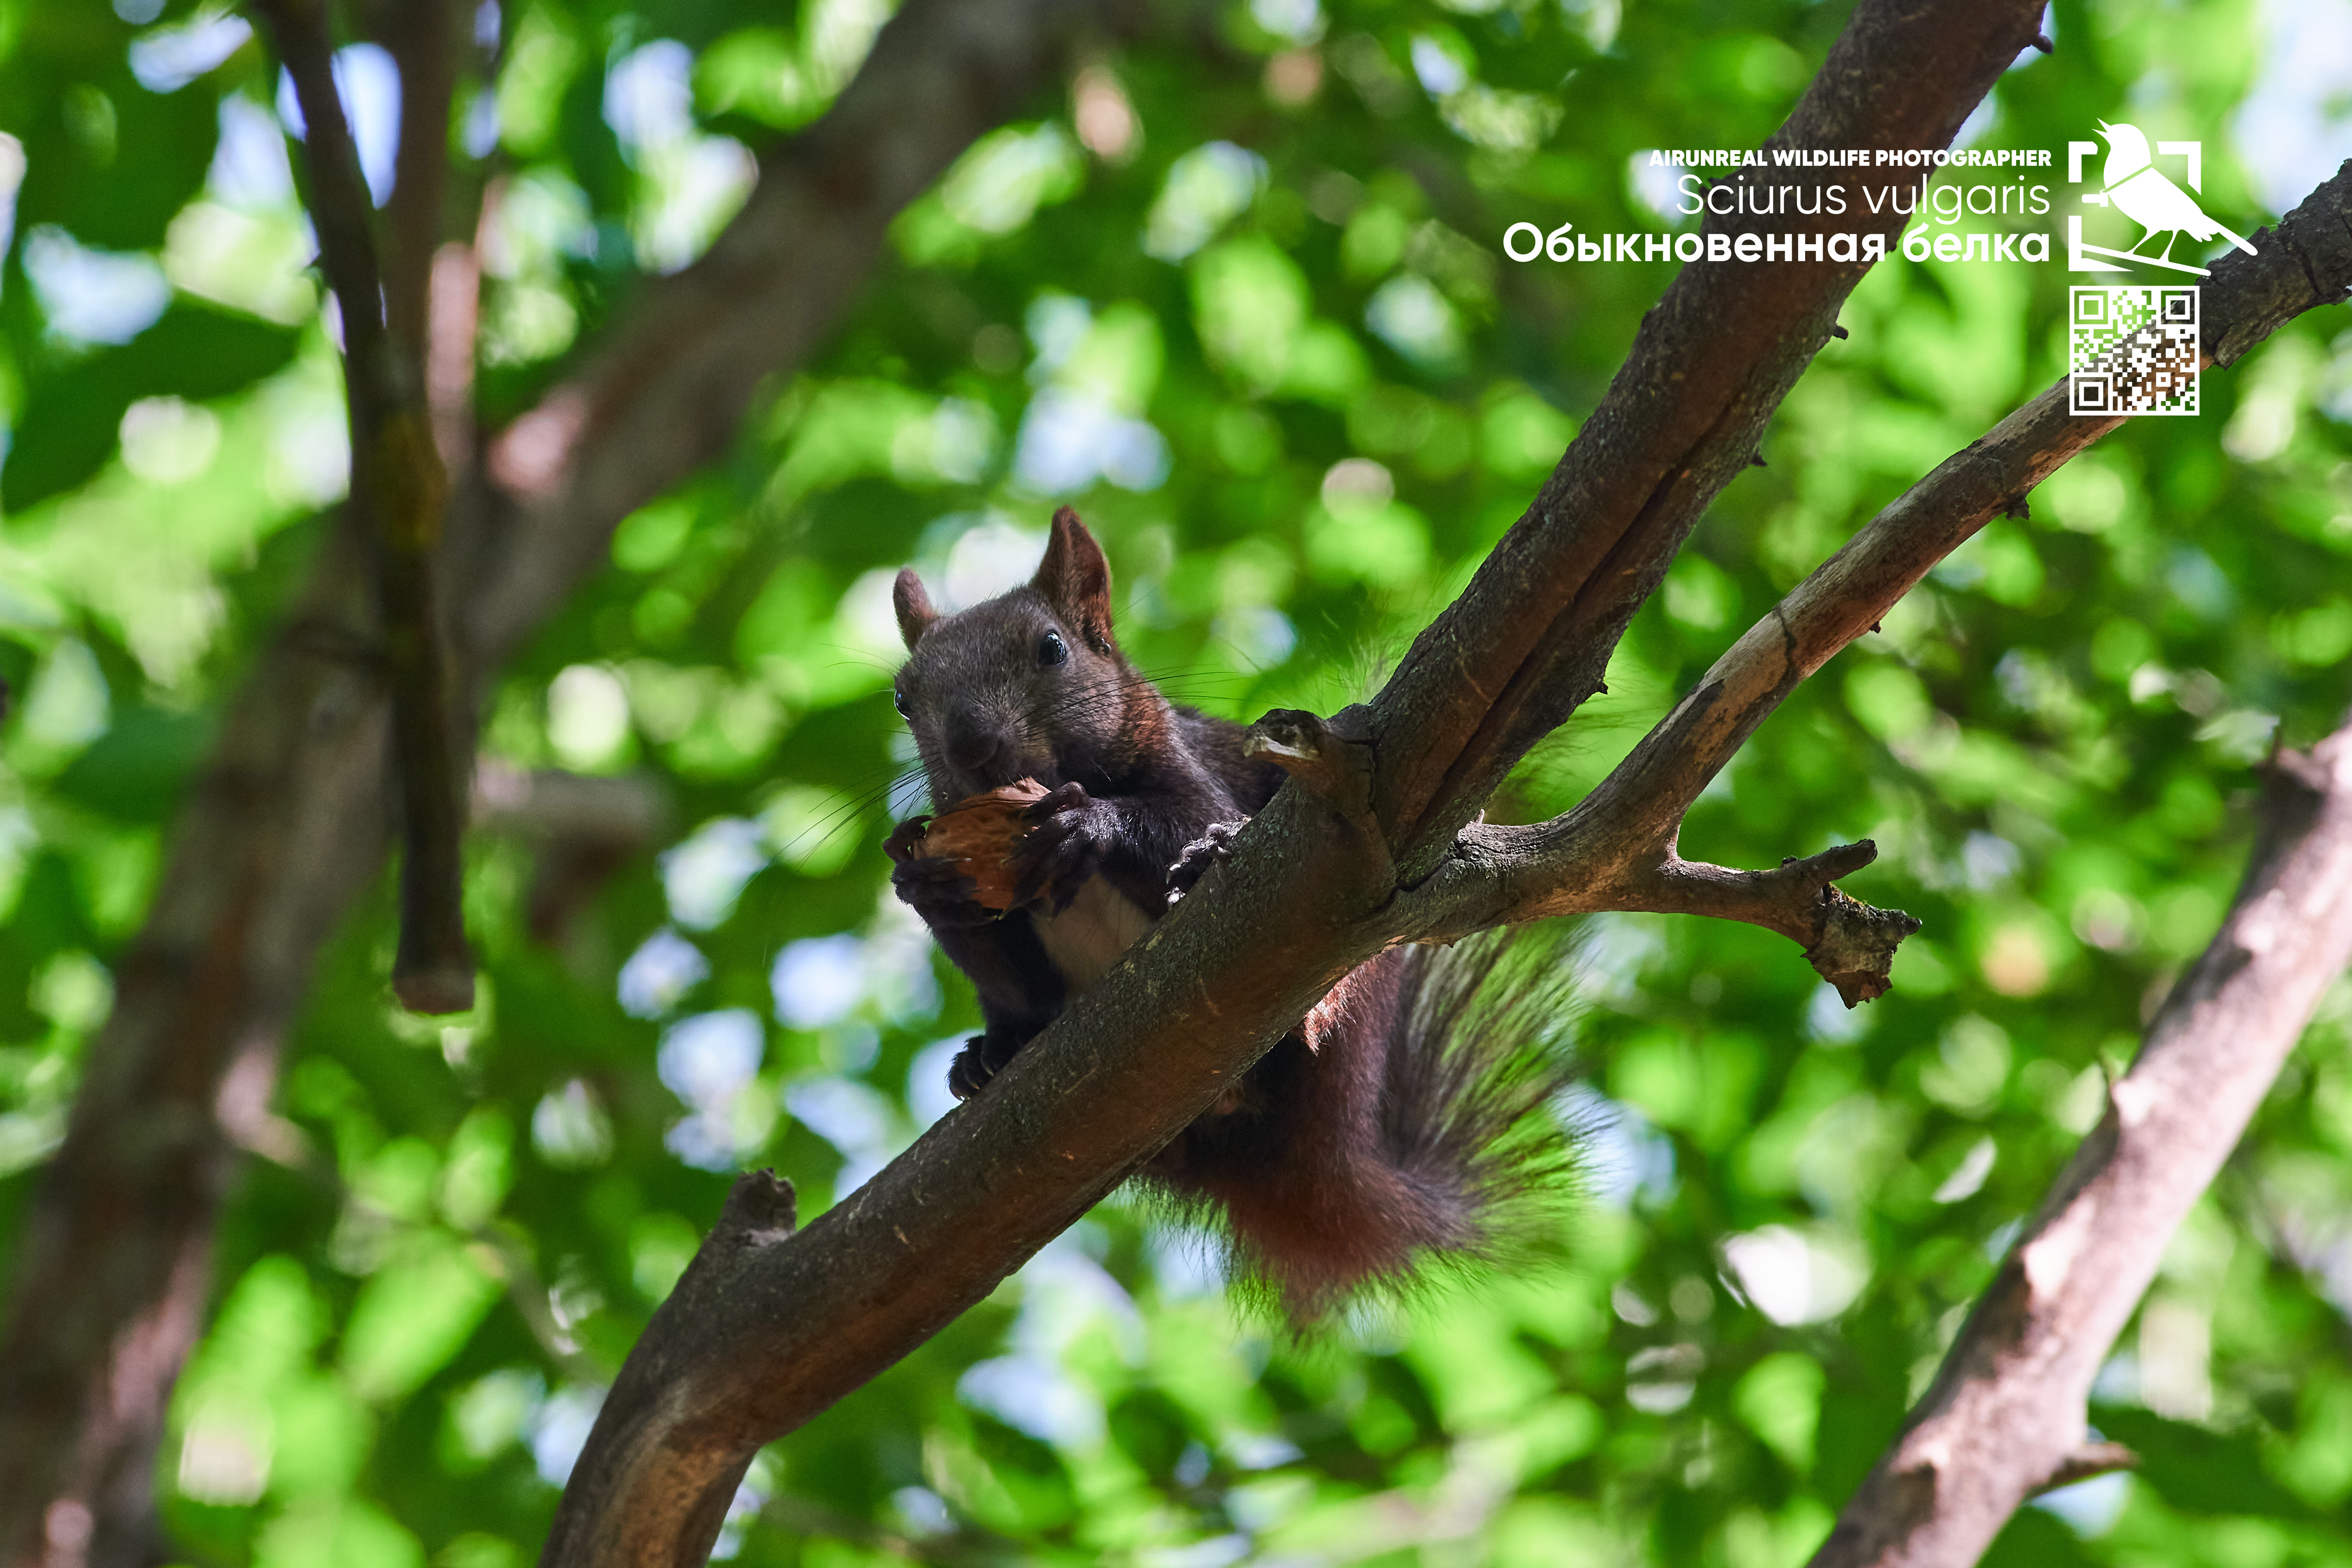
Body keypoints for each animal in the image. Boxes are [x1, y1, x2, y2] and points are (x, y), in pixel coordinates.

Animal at [884, 510, 1580, 1316]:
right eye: (903, 698)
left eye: (1051, 649)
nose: (972, 745)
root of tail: (1328, 1157)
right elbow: (1009, 979)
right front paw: (923, 882)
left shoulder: (1189, 768)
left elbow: (1181, 820)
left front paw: (1091, 825)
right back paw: (985, 1058)